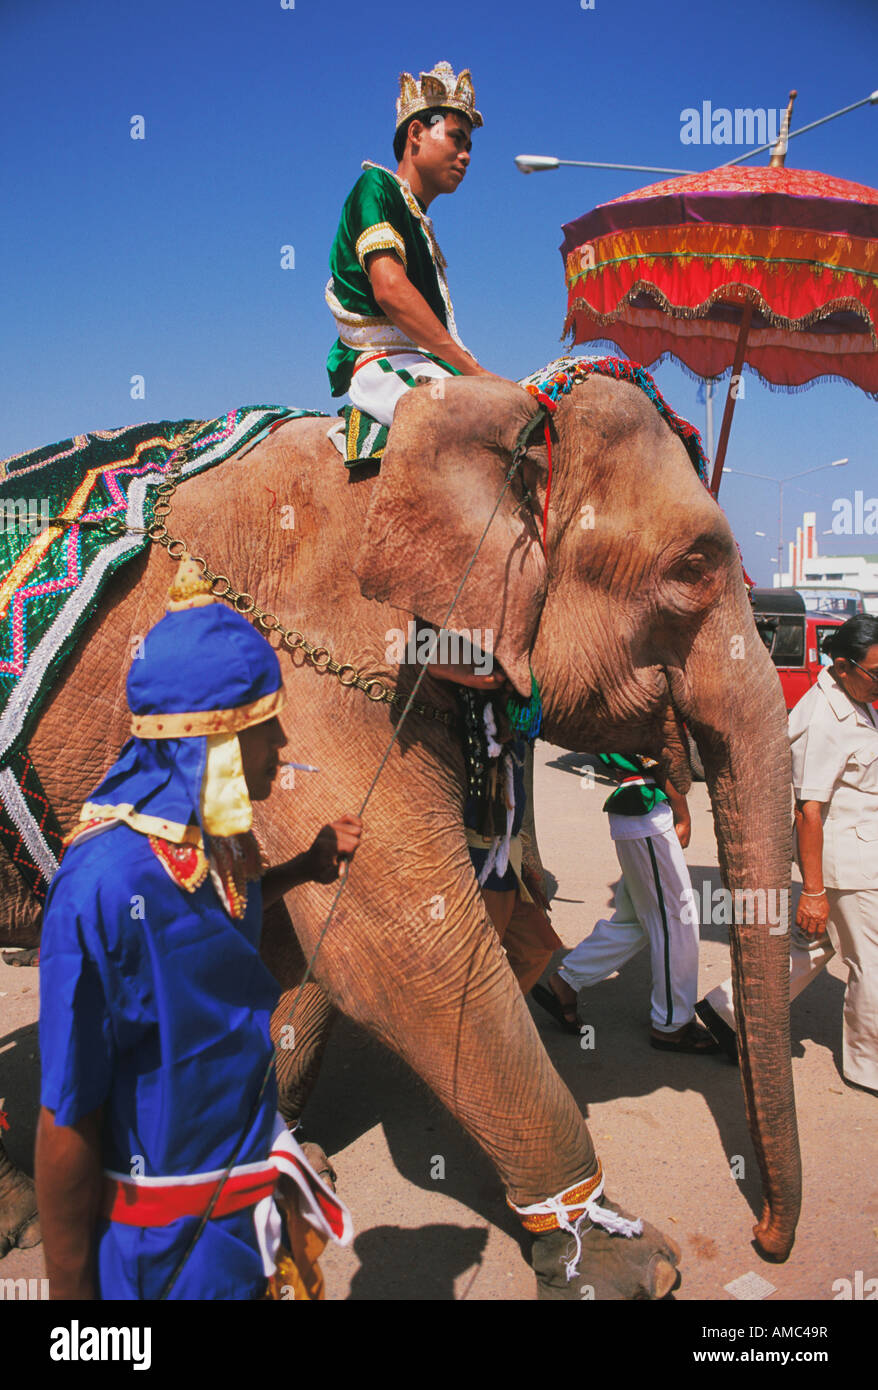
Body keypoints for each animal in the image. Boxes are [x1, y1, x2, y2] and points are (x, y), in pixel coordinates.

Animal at [0, 370, 800, 1297]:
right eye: (695, 567)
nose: (766, 1240)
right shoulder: (313, 665)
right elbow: (405, 953)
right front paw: (620, 1261)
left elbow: (307, 941)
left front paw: (284, 1167)